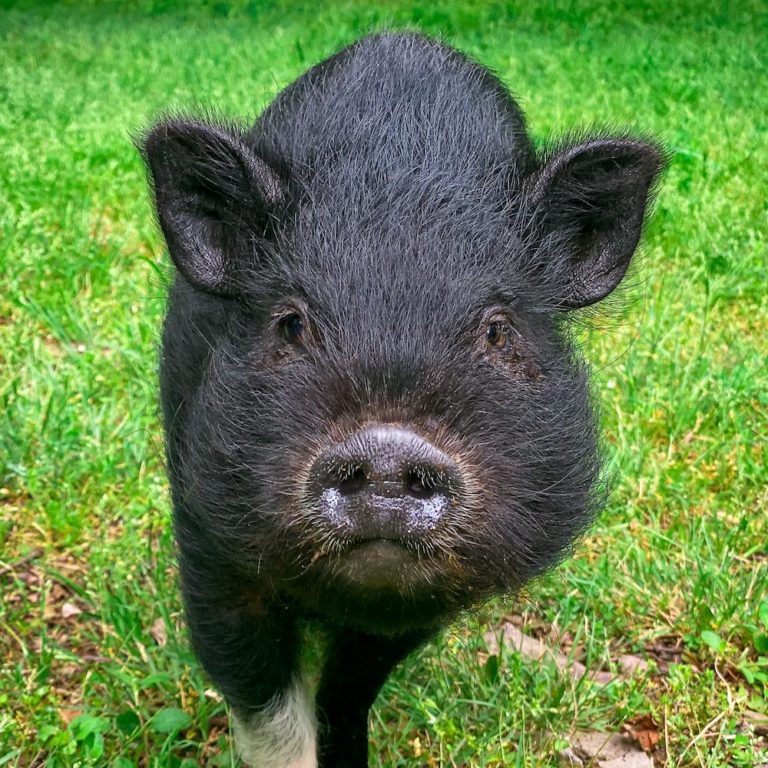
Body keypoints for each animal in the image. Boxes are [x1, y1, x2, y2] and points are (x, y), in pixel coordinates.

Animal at [140, 32, 663, 768]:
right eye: (289, 323)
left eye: (497, 330)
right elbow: (263, 703)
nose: (388, 449)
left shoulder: (425, 603)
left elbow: (349, 689)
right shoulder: (210, 543)